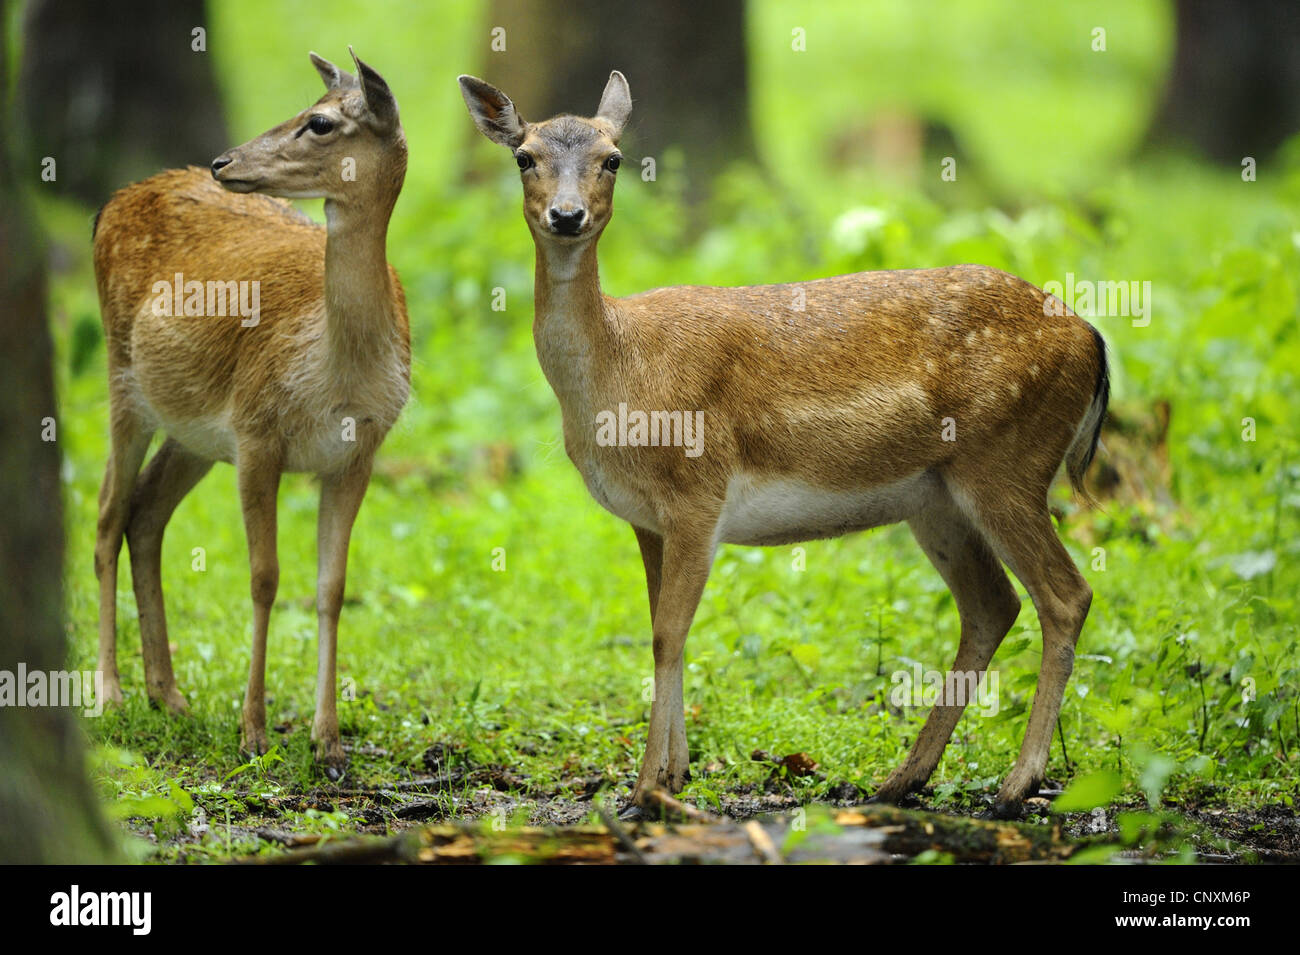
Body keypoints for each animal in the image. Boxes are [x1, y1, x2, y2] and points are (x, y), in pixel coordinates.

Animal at [92, 50, 409, 779]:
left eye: (319, 122)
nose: (223, 162)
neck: (337, 373)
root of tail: (116, 197)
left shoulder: (359, 452)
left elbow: (331, 586)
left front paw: (328, 744)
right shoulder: (259, 430)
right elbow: (265, 578)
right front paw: (254, 732)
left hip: (195, 431)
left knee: (145, 513)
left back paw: (169, 695)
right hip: (125, 380)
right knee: (106, 514)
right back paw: (111, 695)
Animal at [459, 70, 1109, 818]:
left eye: (612, 158)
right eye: (525, 156)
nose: (566, 215)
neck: (620, 373)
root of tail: (1093, 338)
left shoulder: (698, 490)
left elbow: (668, 631)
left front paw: (649, 788)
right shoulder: (646, 517)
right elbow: (662, 628)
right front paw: (673, 774)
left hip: (1008, 463)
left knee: (1065, 594)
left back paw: (1016, 783)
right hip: (937, 499)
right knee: (992, 605)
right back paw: (903, 778)